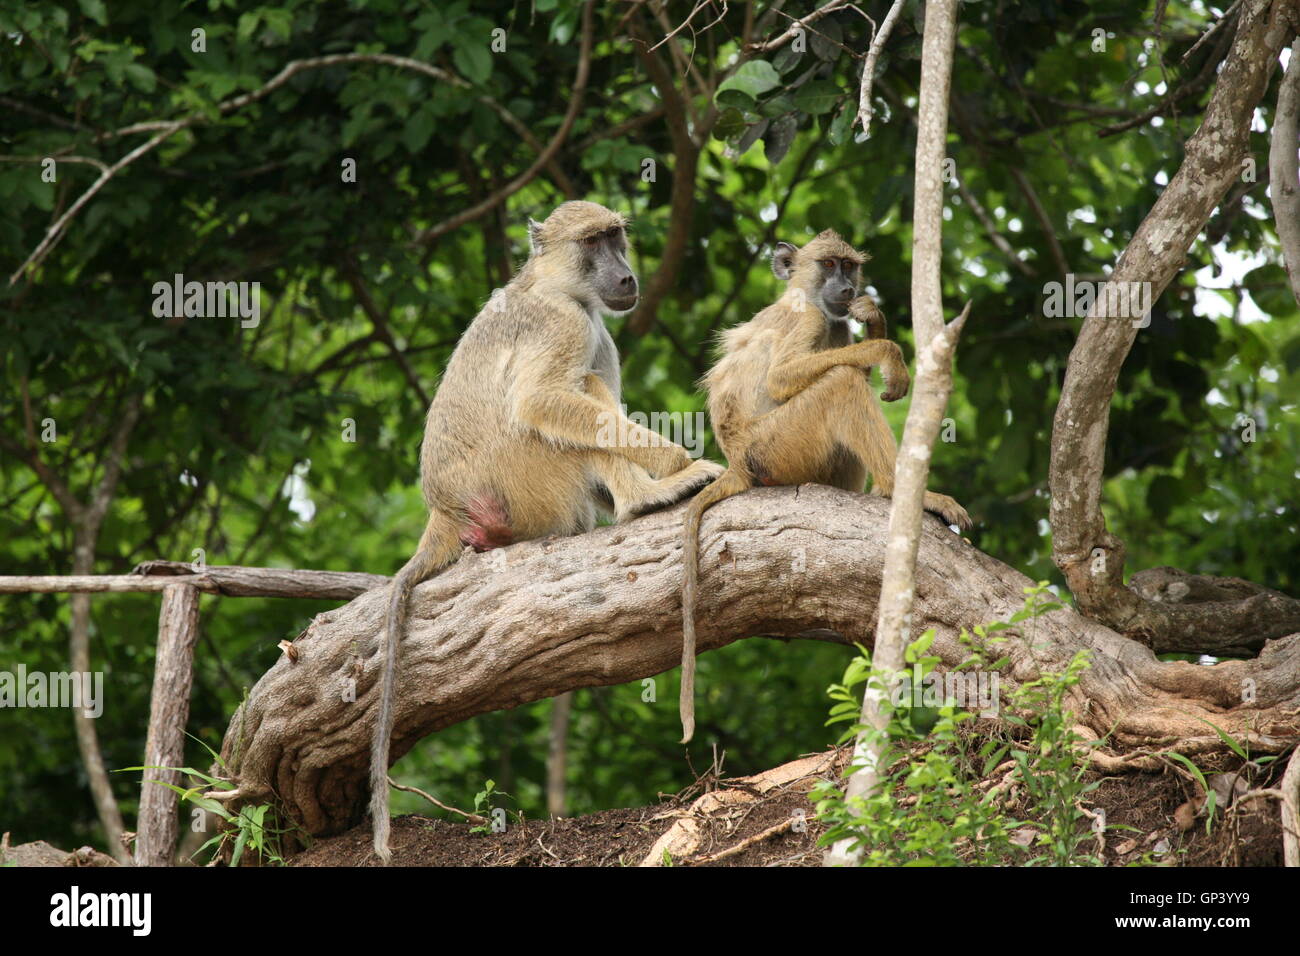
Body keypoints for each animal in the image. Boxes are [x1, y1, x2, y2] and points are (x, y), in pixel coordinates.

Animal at [371, 200, 723, 862]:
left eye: (616, 237)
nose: (626, 276)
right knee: (566, 399)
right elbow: (542, 399)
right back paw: (646, 498)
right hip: (524, 480)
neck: (555, 285)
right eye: (593, 242)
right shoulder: (568, 324)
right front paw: (674, 462)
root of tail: (445, 511)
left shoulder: (597, 325)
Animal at [677, 229, 972, 743]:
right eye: (828, 264)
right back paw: (899, 491)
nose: (847, 288)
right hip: (777, 447)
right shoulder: (810, 316)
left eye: (849, 266)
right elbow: (783, 376)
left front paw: (874, 317)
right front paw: (889, 352)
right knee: (841, 382)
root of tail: (736, 462)